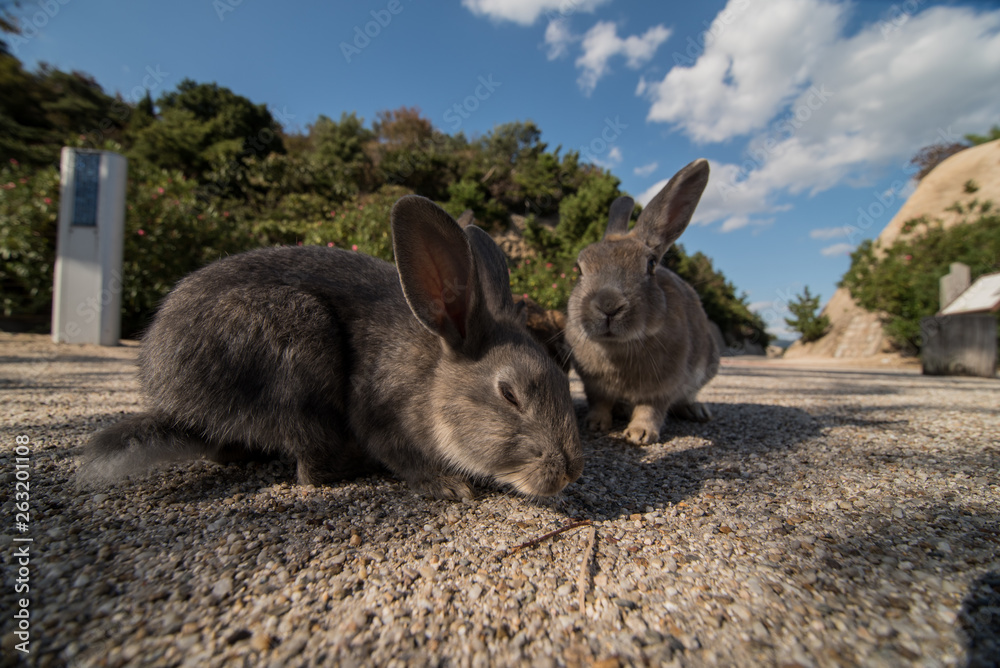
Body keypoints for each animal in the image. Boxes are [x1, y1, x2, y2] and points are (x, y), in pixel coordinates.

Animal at [79, 195, 584, 500]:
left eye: (564, 382)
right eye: (510, 395)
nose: (569, 472)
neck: (433, 376)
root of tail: (176, 401)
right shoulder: (378, 413)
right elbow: (401, 456)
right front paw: (449, 485)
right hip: (298, 347)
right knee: (310, 469)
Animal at [565, 158, 720, 445]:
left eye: (650, 264)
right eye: (579, 268)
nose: (608, 306)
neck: (618, 346)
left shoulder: (662, 387)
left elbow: (650, 408)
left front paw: (640, 434)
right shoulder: (594, 386)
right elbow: (599, 403)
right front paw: (595, 425)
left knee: (685, 398)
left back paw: (698, 411)